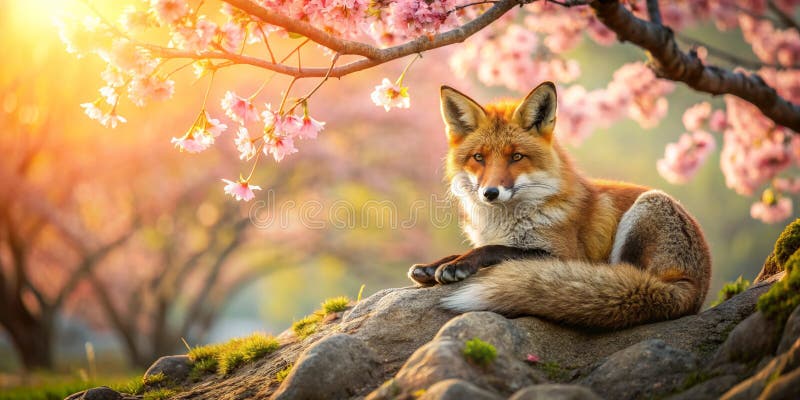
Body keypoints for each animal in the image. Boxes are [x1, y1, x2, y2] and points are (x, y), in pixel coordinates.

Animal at [408, 82, 712, 330]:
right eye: (479, 158)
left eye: (516, 157)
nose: (490, 193)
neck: (503, 222)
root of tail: (696, 287)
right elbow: (472, 249)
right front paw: (432, 266)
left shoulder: (563, 255)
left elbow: (493, 249)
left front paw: (458, 265)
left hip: (649, 206)